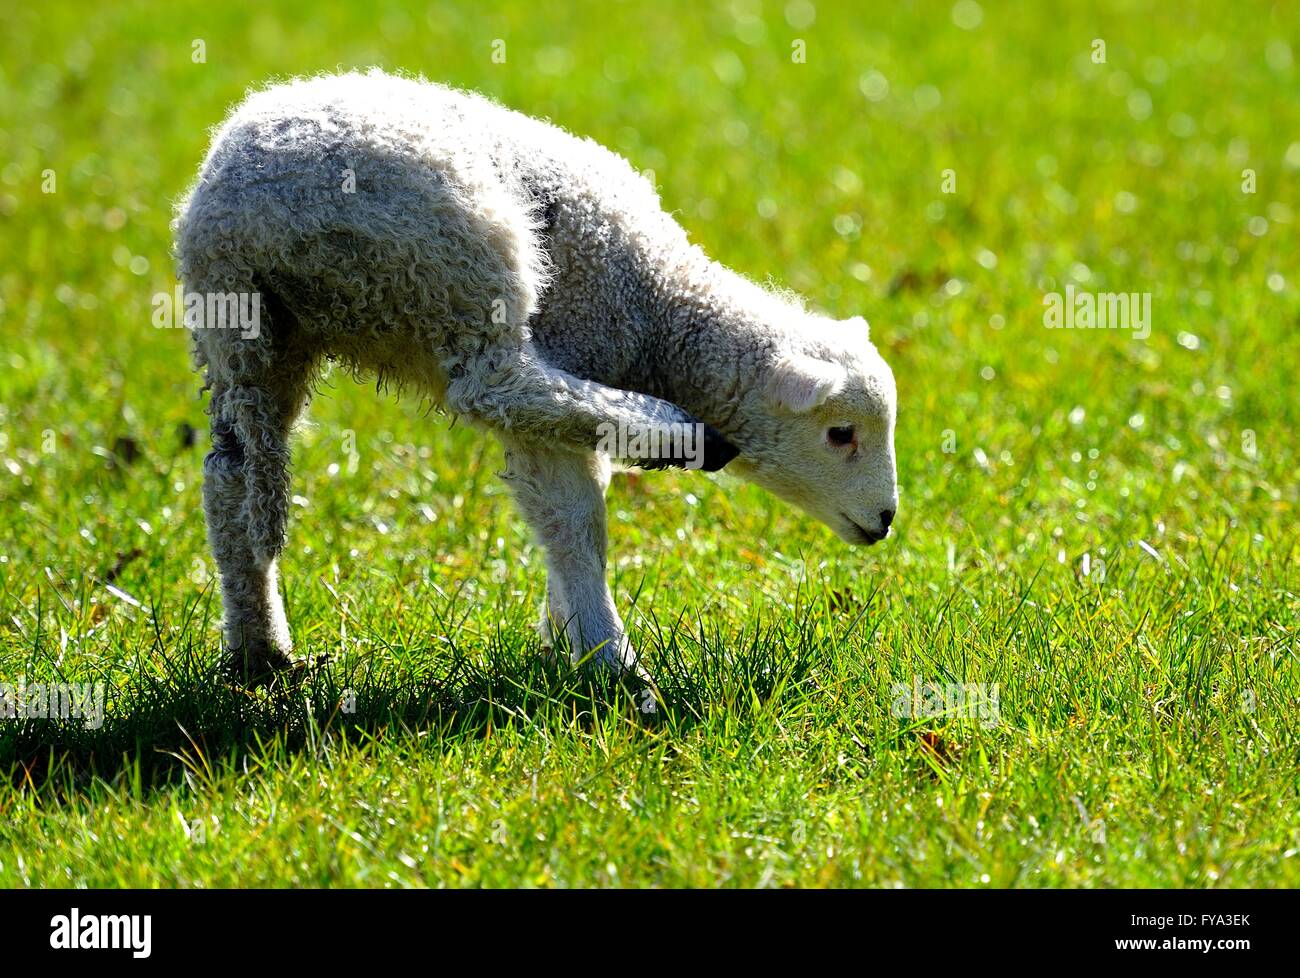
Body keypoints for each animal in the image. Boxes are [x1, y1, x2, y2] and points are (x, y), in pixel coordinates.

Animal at [174, 70, 899, 689]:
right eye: (840, 434)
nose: (887, 521)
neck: (664, 310)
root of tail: (258, 203)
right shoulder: (573, 348)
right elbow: (573, 521)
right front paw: (607, 659)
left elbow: (564, 515)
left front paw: (565, 634)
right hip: (454, 259)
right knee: (494, 382)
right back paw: (677, 435)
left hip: (245, 329)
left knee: (235, 480)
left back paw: (259, 651)